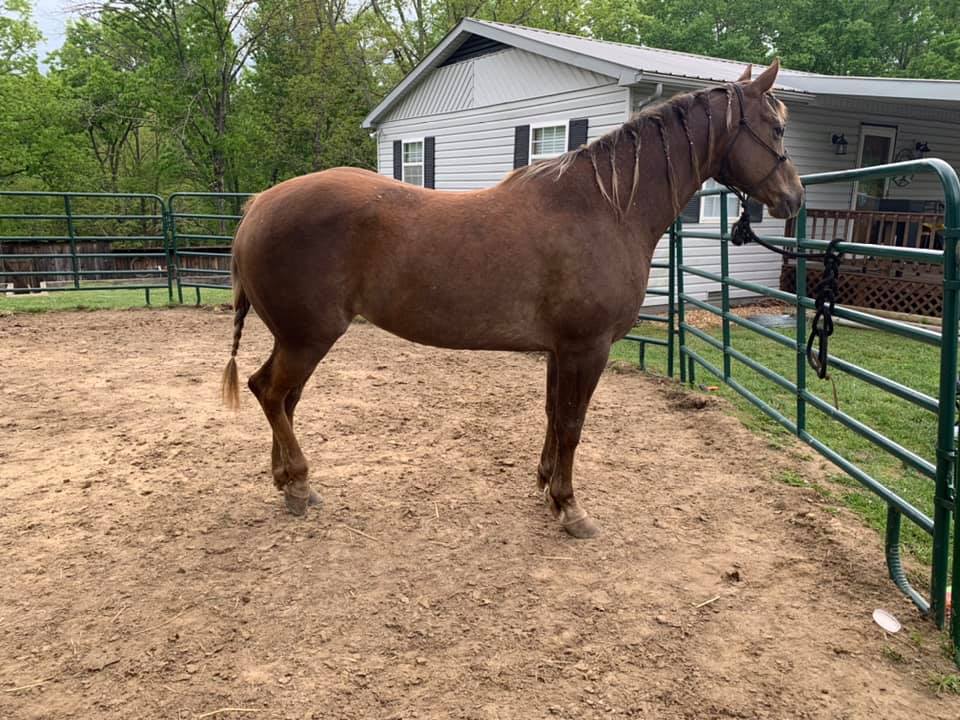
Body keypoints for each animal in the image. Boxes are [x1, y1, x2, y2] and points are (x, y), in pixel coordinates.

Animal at [222, 60, 803, 538]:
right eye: (775, 127)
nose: (793, 198)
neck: (606, 208)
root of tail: (257, 207)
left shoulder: (560, 351)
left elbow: (552, 415)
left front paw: (546, 484)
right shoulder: (587, 348)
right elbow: (572, 424)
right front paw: (571, 508)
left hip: (296, 338)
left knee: (279, 397)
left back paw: (286, 481)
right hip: (308, 337)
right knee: (271, 394)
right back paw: (299, 484)